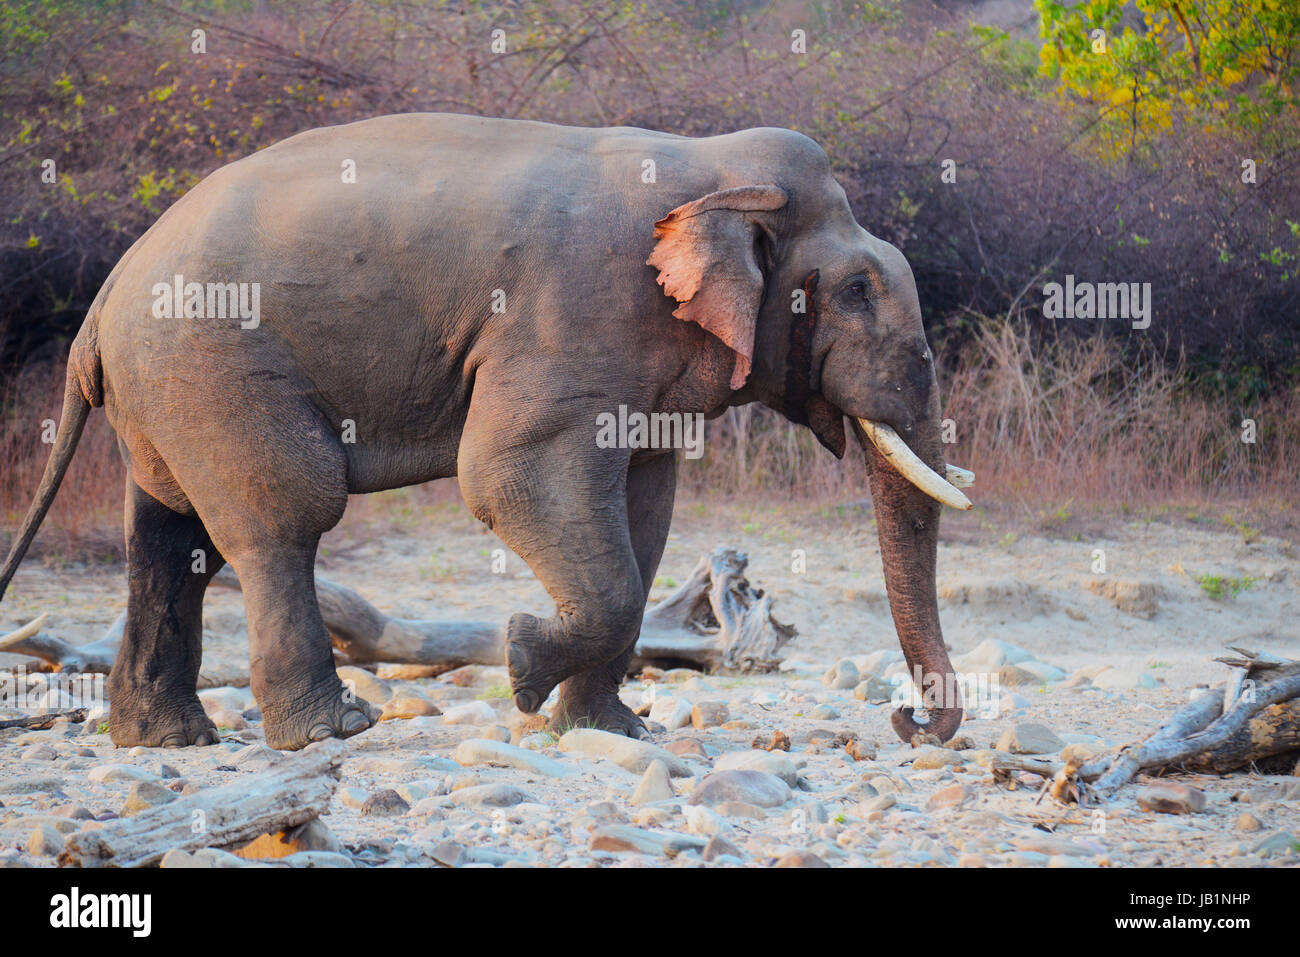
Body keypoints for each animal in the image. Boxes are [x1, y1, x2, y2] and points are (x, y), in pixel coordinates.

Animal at [0, 113, 973, 751]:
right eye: (857, 291)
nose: (911, 721)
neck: (712, 165)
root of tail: (100, 306)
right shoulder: (575, 315)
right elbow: (507, 474)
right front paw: (522, 661)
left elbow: (647, 509)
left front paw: (613, 729)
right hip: (215, 365)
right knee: (284, 513)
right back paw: (330, 730)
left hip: (167, 388)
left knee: (171, 539)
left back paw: (167, 741)